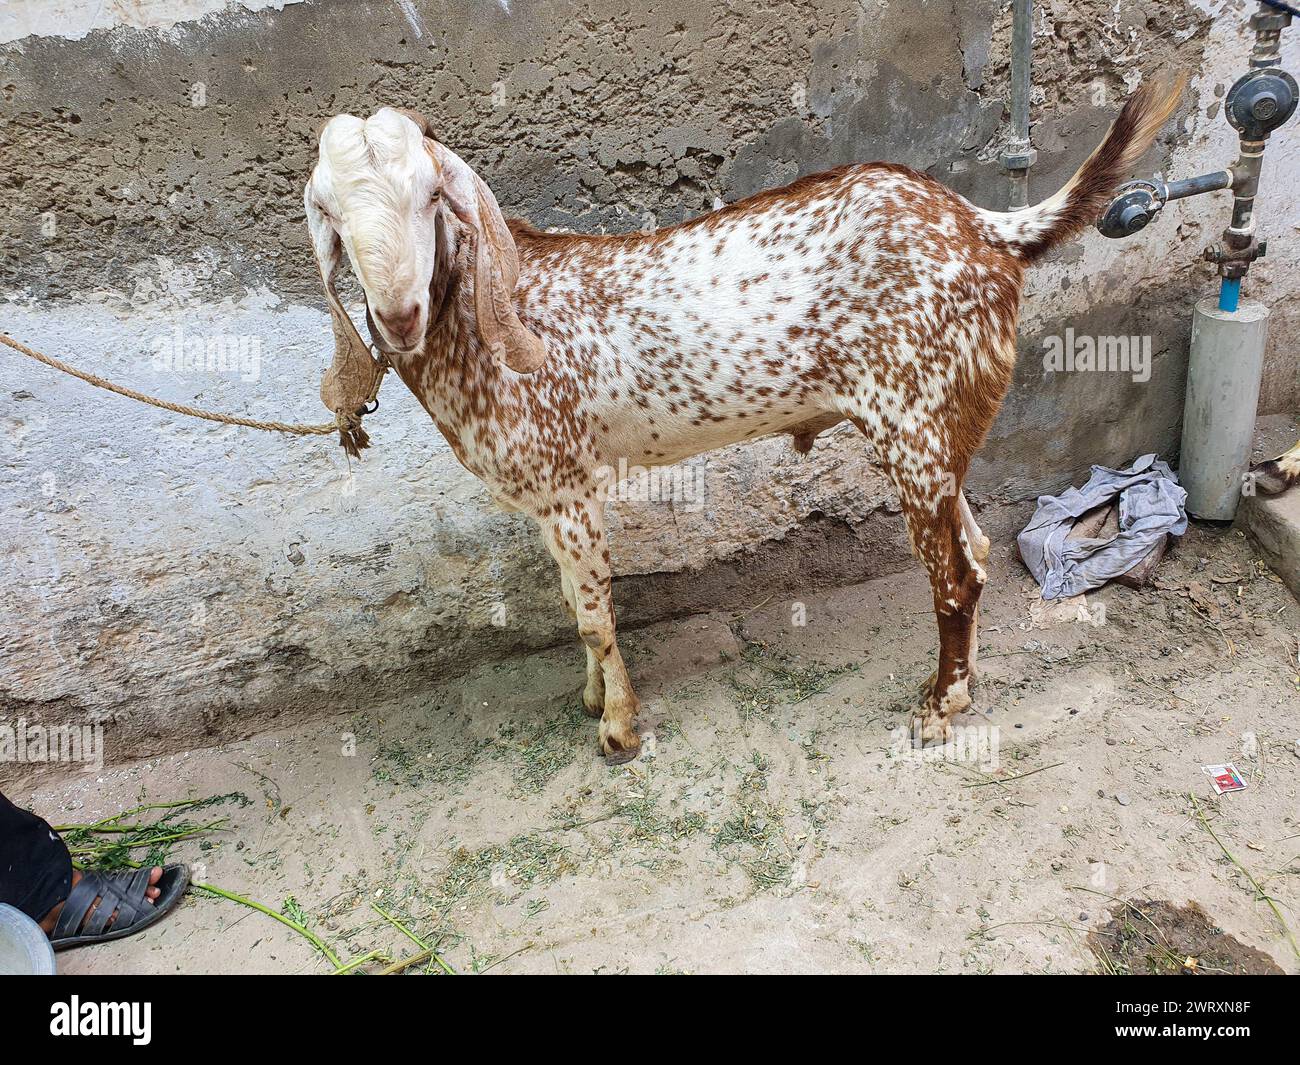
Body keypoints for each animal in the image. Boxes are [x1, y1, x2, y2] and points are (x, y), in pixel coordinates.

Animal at [305, 77, 1184, 761]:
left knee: (956, 574)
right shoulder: (556, 498)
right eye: (334, 217)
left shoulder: (567, 489)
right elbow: (571, 603)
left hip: (916, 427)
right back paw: (959, 690)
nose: (399, 313)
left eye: (430, 195)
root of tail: (984, 225)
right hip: (938, 432)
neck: (497, 316)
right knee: (976, 547)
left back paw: (936, 711)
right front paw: (592, 698)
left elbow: (593, 615)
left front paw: (619, 729)